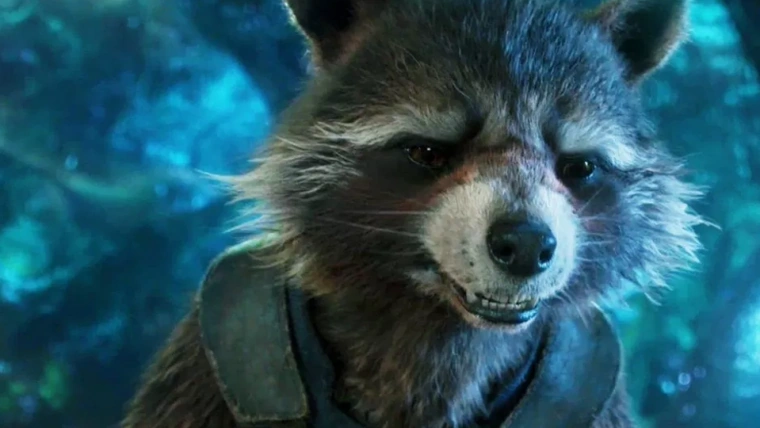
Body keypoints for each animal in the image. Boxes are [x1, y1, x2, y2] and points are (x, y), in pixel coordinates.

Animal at [122, 0, 704, 427]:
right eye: (427, 153)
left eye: (577, 167)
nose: (526, 244)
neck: (439, 322)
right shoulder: (214, 352)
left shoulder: (589, 390)